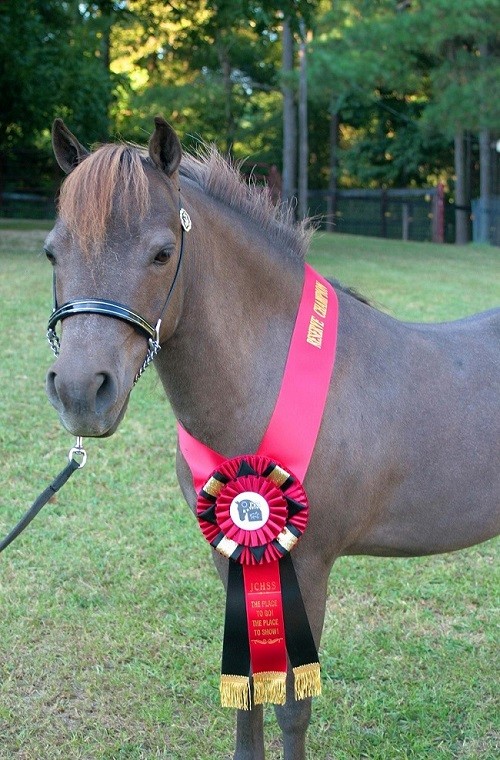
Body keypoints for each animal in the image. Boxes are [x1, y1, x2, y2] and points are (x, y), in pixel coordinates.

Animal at [44, 116, 499, 760]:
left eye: (162, 253)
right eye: (52, 251)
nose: (82, 393)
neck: (268, 381)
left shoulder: (306, 565)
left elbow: (290, 704)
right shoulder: (230, 559)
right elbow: (249, 696)